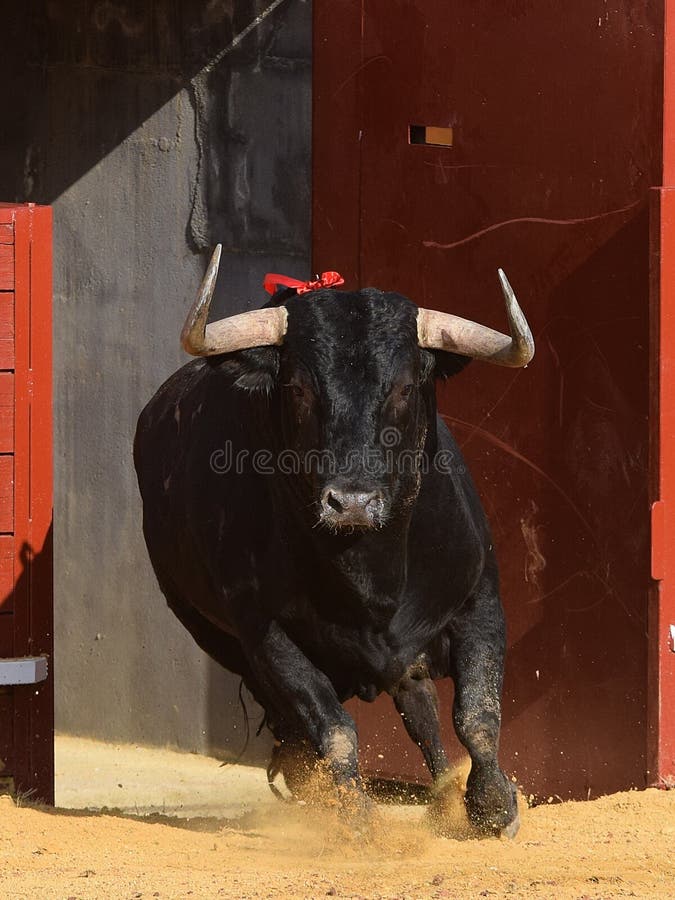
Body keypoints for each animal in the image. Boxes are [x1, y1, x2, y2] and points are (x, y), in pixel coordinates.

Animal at [133, 246, 534, 837]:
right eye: (299, 388)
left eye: (405, 387)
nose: (352, 502)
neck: (370, 569)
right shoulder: (265, 634)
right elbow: (332, 727)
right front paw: (354, 817)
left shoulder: (479, 601)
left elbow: (478, 714)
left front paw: (493, 807)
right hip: (216, 636)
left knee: (420, 706)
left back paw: (442, 796)